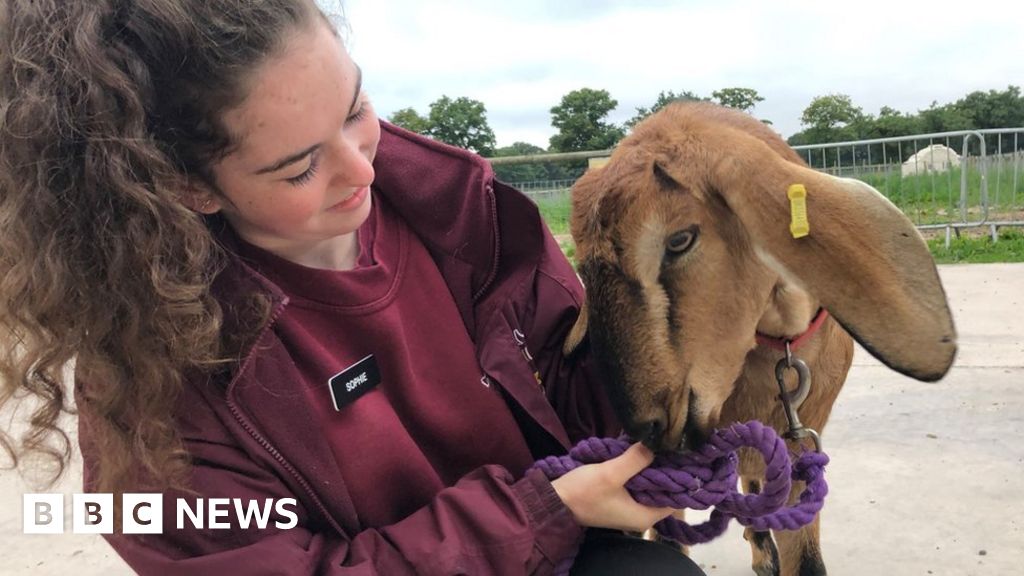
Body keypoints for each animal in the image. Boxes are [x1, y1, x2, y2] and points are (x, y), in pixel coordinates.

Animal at [563, 102, 957, 576]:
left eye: (680, 239)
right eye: (583, 265)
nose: (648, 427)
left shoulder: (801, 448)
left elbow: (805, 559)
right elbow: (669, 538)